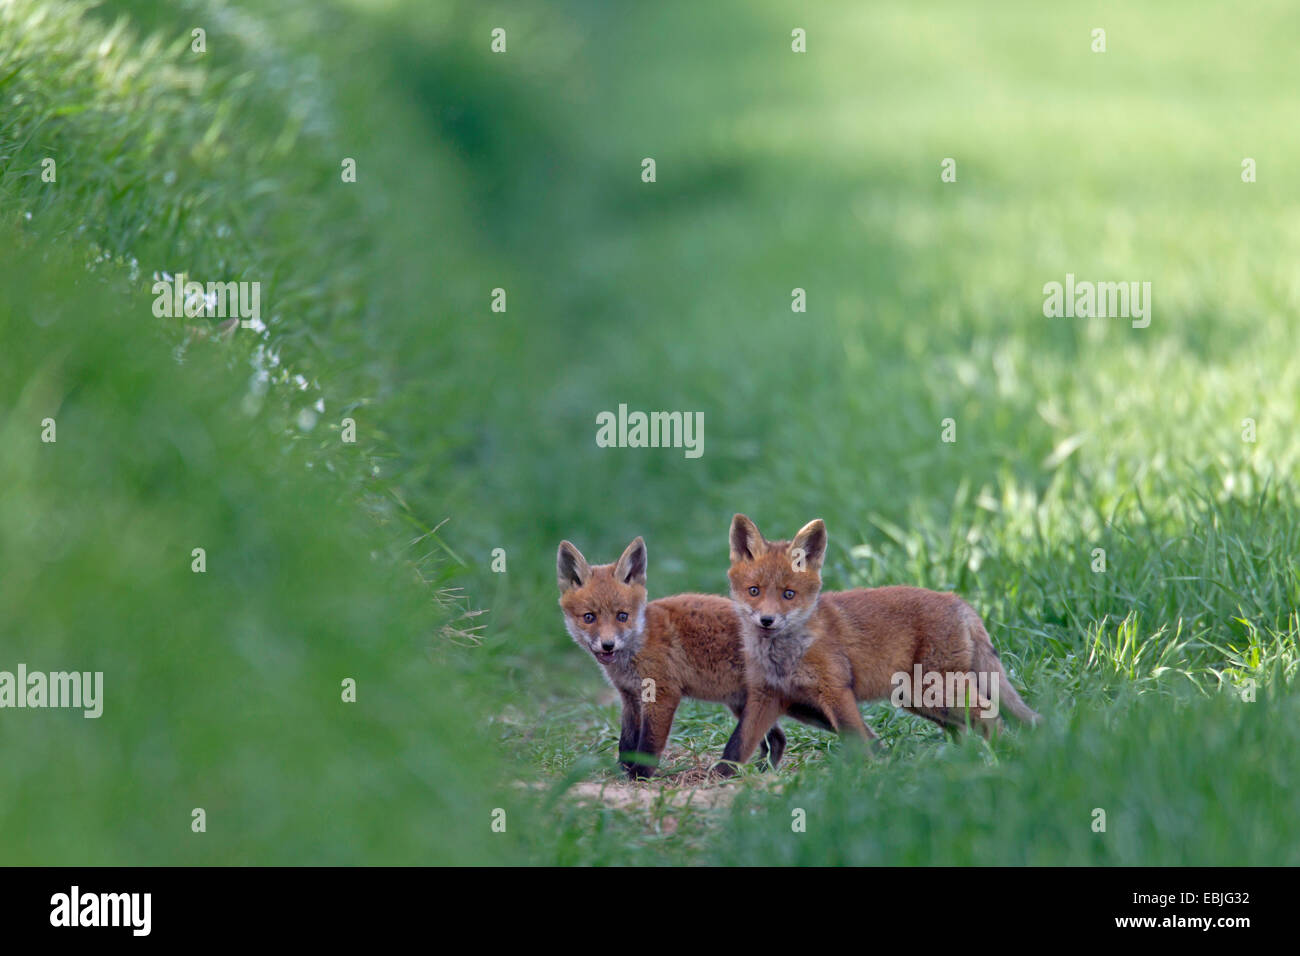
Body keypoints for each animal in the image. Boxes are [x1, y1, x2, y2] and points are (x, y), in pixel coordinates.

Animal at [557, 536, 831, 779]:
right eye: (589, 617)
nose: (608, 645)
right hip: (746, 703)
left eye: (622, 616)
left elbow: (648, 745)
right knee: (776, 739)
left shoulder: (662, 694)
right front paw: (621, 772)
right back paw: (759, 773)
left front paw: (638, 777)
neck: (639, 643)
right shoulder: (630, 698)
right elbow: (626, 743)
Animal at [716, 514, 1039, 775]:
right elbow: (737, 745)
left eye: (788, 594)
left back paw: (1003, 757)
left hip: (933, 691)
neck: (784, 656)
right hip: (919, 700)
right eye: (754, 591)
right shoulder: (765, 695)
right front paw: (722, 778)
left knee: (989, 715)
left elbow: (856, 736)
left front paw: (871, 774)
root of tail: (958, 600)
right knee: (963, 727)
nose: (767, 621)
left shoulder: (835, 690)